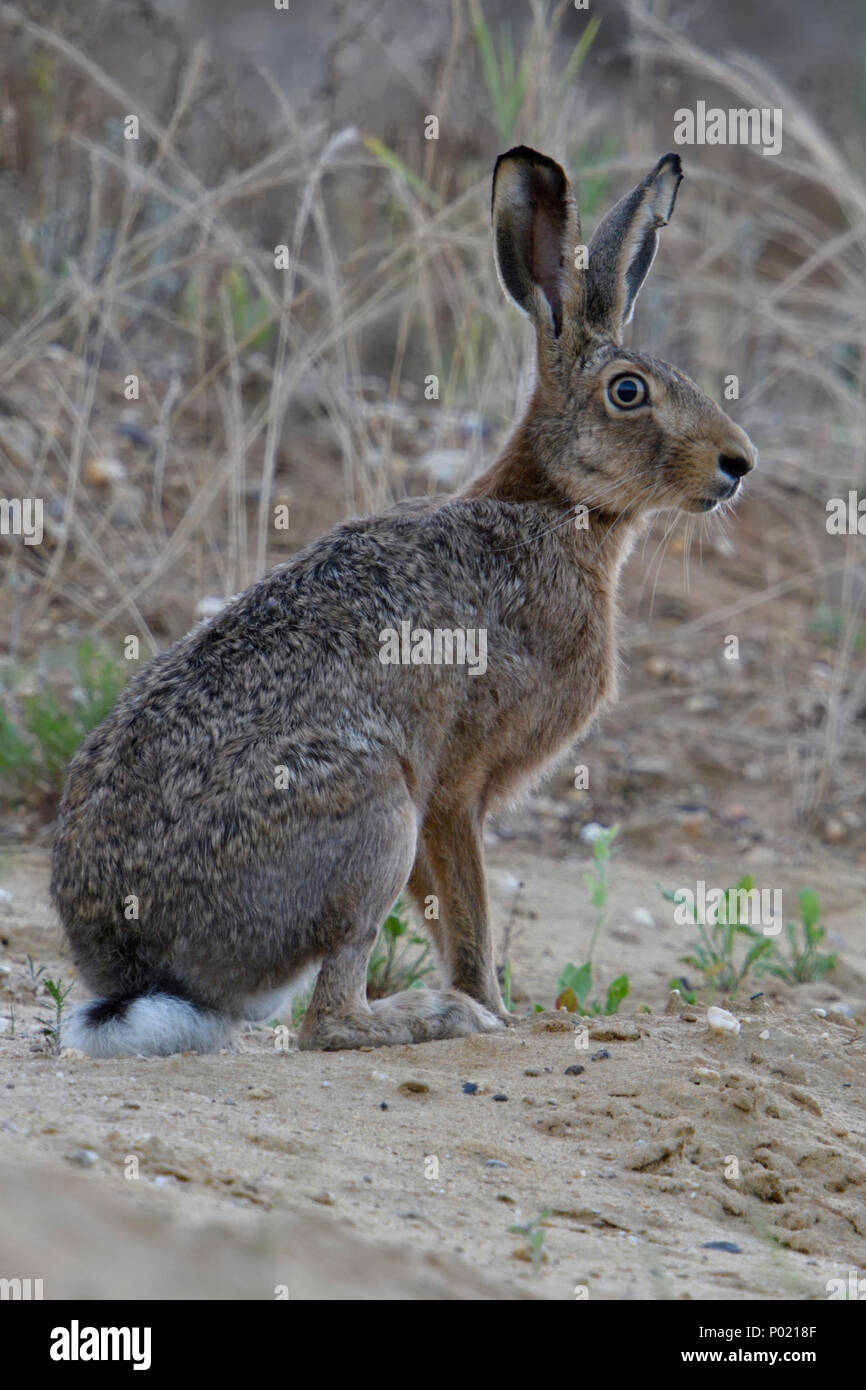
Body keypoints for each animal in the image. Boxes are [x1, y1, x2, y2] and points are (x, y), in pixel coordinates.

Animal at [51, 145, 755, 1057]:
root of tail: (134, 967)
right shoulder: (453, 784)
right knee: (328, 1020)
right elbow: (470, 915)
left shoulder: (441, 811)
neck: (555, 507)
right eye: (629, 392)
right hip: (375, 812)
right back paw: (436, 1017)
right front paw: (494, 1009)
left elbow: (444, 914)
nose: (737, 463)